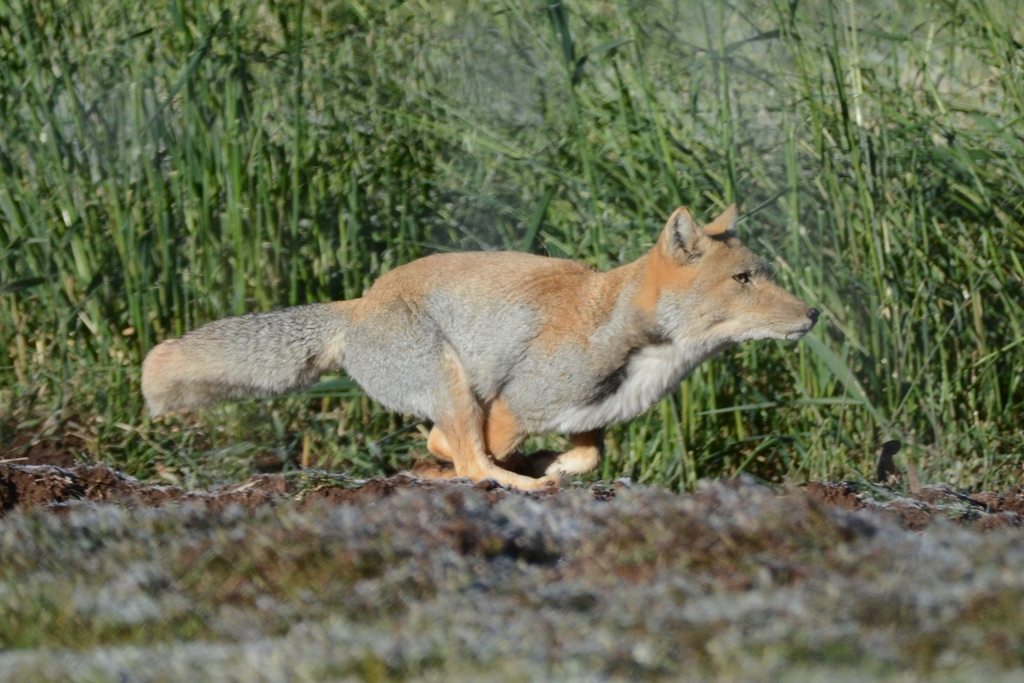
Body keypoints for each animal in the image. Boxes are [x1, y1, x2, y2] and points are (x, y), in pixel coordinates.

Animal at [142, 205, 818, 490]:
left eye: (761, 273)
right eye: (745, 280)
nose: (813, 313)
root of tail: (358, 304)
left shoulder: (588, 418)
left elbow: (586, 457)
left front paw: (552, 465)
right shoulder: (511, 405)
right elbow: (470, 447)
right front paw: (530, 470)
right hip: (451, 380)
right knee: (470, 463)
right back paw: (511, 482)